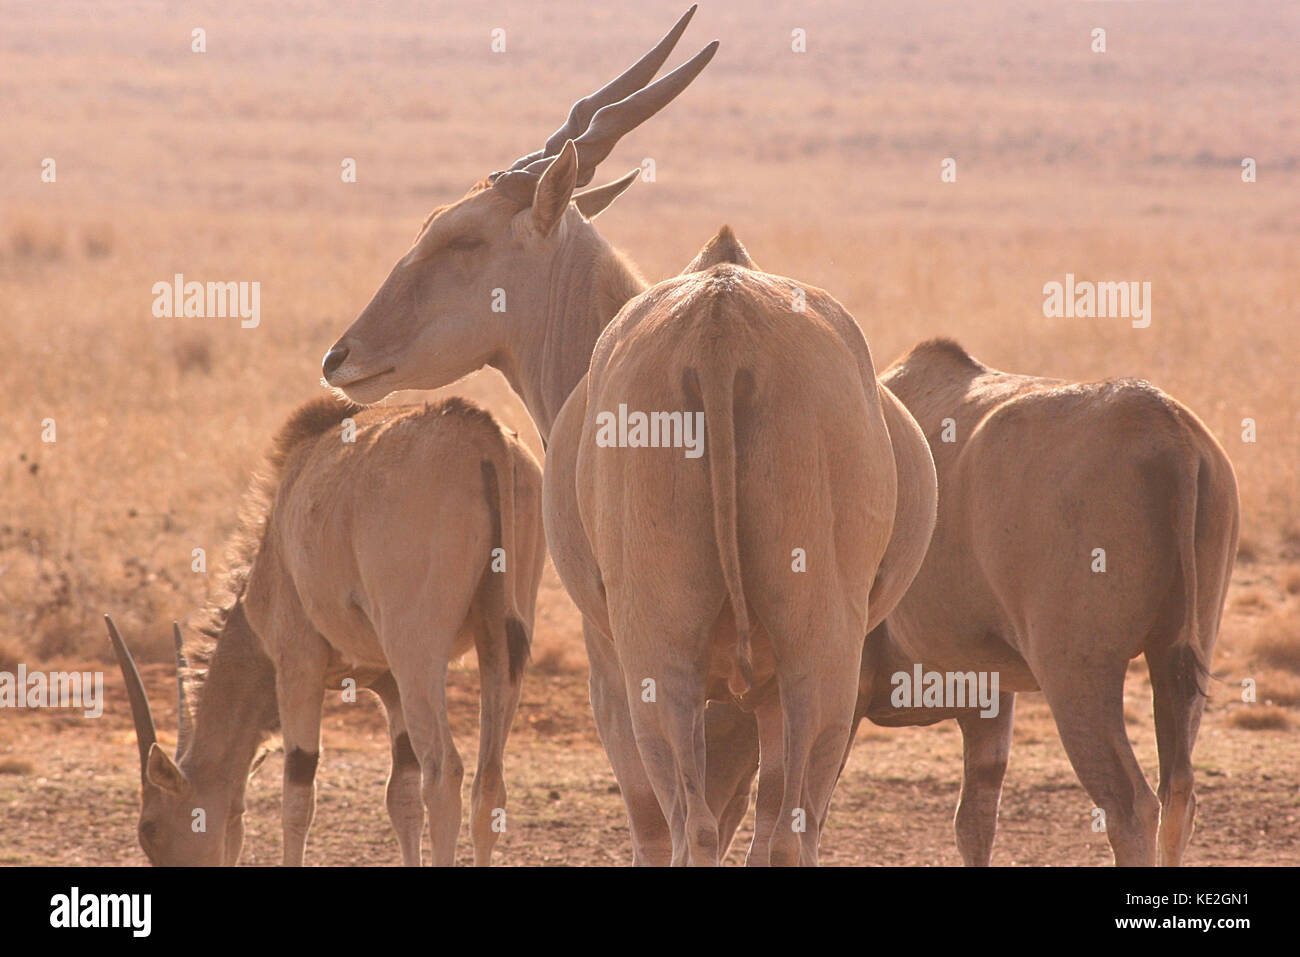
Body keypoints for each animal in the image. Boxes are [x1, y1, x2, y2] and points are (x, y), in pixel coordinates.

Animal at [107, 394, 546, 866]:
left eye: (149, 828)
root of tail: (483, 434)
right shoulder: (388, 686)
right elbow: (402, 797)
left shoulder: (297, 666)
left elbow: (298, 794)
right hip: (498, 642)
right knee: (489, 782)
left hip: (417, 656)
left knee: (444, 773)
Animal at [321, 6, 937, 865]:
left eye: (461, 236)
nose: (341, 355)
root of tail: (720, 322)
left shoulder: (608, 661)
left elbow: (658, 820)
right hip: (817, 660)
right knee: (788, 826)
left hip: (660, 660)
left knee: (689, 824)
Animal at [705, 339, 1240, 866]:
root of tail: (1166, 429)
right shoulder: (990, 701)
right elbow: (975, 821)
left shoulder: (845, 695)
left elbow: (799, 821)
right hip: (1175, 667)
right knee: (1179, 794)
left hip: (1079, 677)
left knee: (1131, 805)